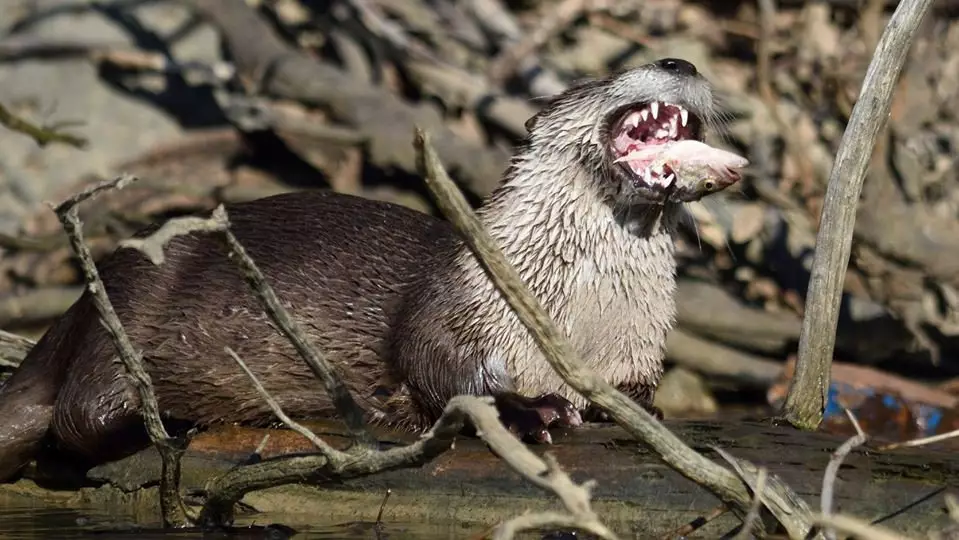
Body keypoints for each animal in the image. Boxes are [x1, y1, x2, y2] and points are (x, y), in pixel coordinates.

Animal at [0, 59, 752, 480]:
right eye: (599, 78)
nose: (681, 59)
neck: (576, 318)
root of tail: (74, 312)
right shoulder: (460, 301)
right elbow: (435, 367)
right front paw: (527, 411)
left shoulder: (640, 343)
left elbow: (637, 389)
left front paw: (626, 406)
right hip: (126, 318)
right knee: (80, 417)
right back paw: (174, 425)